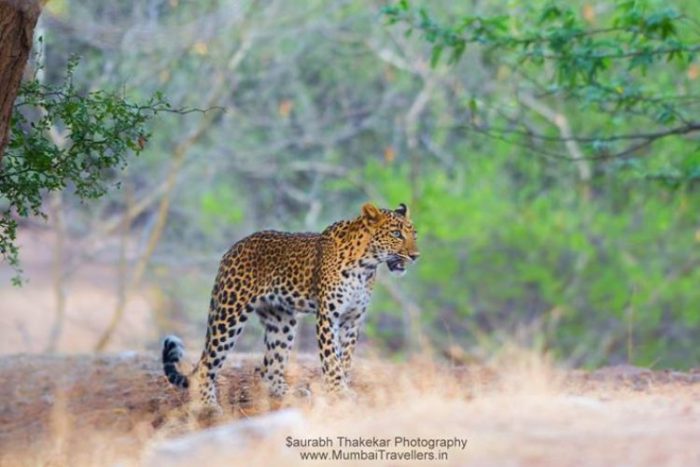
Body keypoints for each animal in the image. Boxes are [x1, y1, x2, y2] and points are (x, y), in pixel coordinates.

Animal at [161, 202, 419, 412]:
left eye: (414, 234)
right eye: (396, 234)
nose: (416, 256)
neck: (366, 266)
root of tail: (233, 248)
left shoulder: (353, 319)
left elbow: (345, 358)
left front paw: (344, 387)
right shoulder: (328, 316)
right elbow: (331, 359)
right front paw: (338, 391)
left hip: (282, 320)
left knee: (267, 368)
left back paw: (290, 393)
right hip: (230, 311)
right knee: (207, 363)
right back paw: (208, 406)